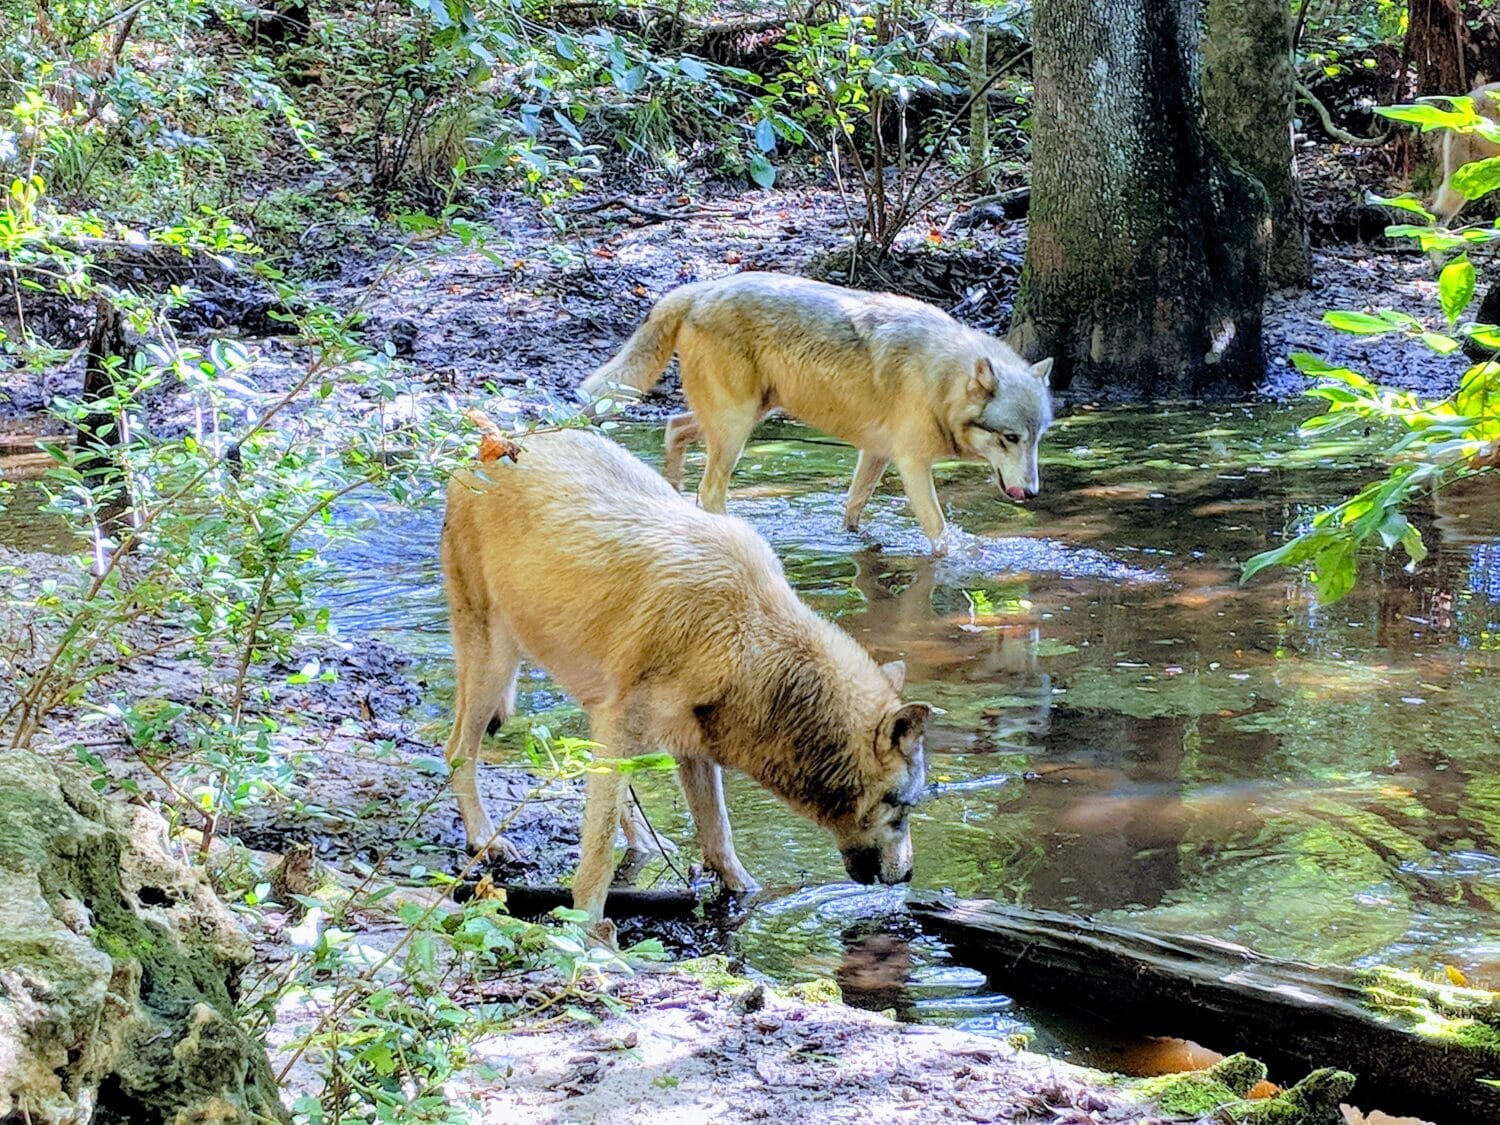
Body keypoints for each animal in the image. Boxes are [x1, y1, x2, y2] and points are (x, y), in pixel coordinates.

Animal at [440, 427, 931, 920]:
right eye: (904, 809)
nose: (909, 874)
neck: (749, 642)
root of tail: (493, 445)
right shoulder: (628, 727)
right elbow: (598, 855)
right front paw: (587, 927)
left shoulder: (690, 747)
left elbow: (718, 836)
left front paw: (746, 895)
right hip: (495, 665)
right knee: (456, 750)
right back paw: (484, 839)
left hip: (587, 696)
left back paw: (647, 842)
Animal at [580, 273, 1054, 554]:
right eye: (1010, 438)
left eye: (1036, 440)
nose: (1032, 493)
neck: (941, 378)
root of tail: (699, 289)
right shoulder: (912, 464)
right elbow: (940, 534)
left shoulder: (876, 454)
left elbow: (853, 507)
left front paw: (855, 540)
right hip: (736, 429)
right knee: (710, 490)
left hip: (746, 416)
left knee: (673, 428)